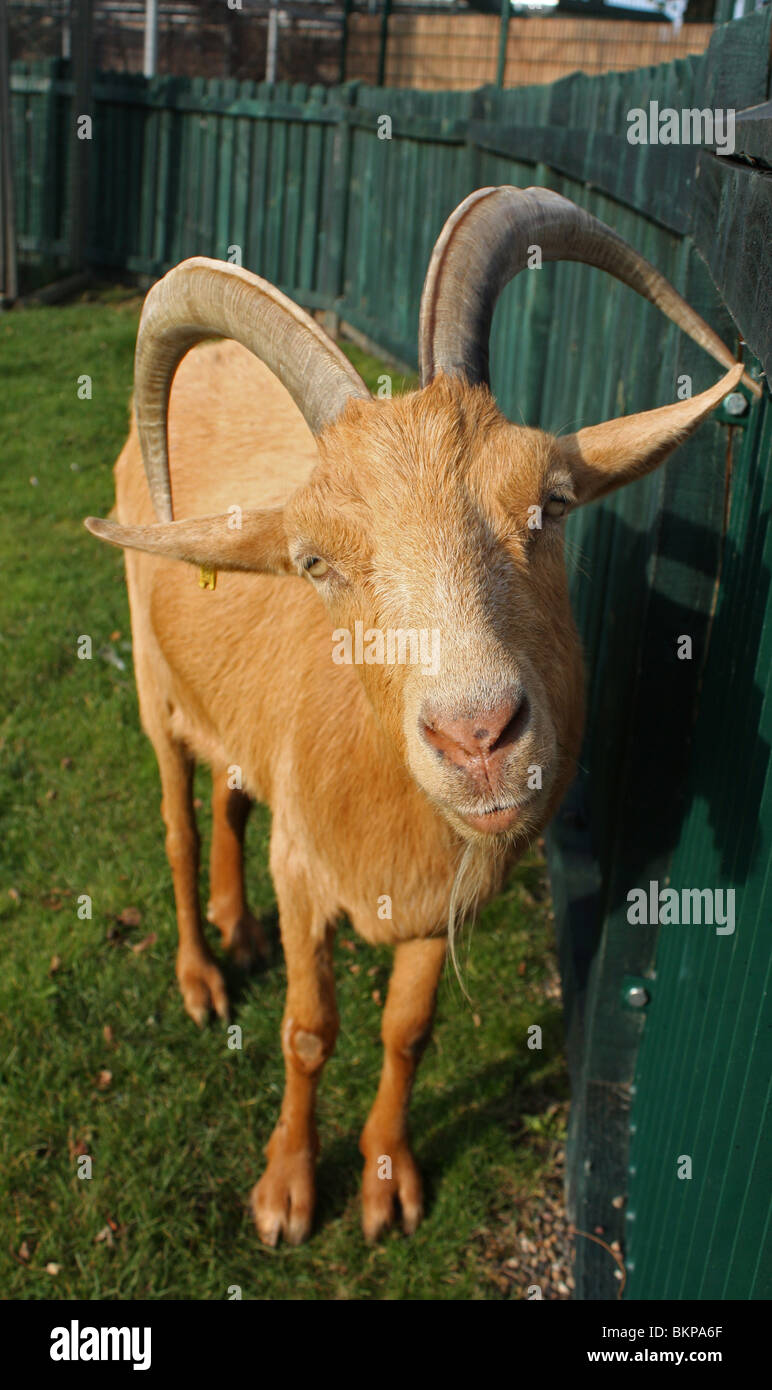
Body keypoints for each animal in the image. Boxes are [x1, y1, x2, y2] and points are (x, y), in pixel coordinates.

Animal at [86, 186, 749, 1246]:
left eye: (551, 504)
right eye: (314, 563)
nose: (477, 739)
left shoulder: (452, 887)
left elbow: (408, 1029)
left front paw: (387, 1181)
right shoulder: (305, 869)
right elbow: (309, 1031)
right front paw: (285, 1193)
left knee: (229, 798)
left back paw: (237, 928)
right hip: (155, 684)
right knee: (180, 825)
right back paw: (201, 974)